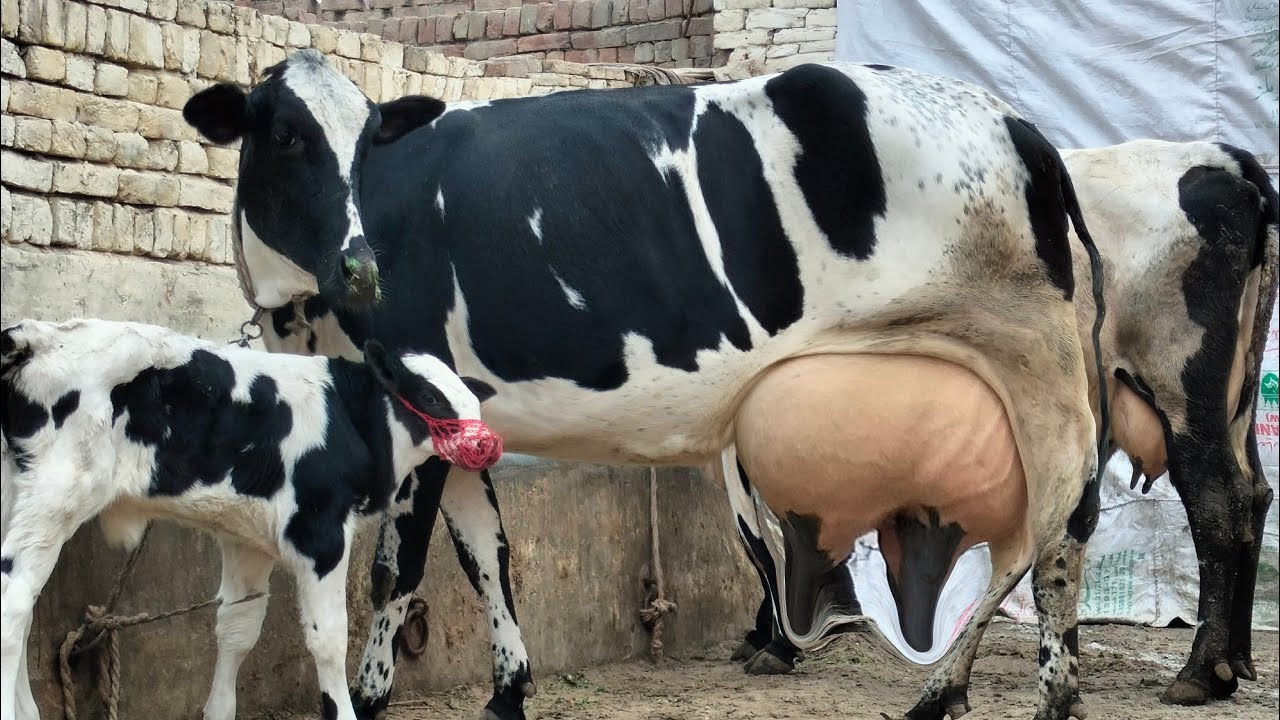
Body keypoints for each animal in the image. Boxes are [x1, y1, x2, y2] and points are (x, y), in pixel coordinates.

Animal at [0, 318, 503, 720]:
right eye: (429, 397)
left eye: (473, 403)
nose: (487, 444)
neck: (351, 417)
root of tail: (35, 336)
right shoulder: (320, 535)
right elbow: (329, 639)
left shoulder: (248, 540)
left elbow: (237, 630)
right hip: (55, 496)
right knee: (13, 607)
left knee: (24, 612)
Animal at [181, 51, 1110, 720]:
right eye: (285, 135)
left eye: (371, 139)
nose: (360, 265)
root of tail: (1014, 121)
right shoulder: (458, 412)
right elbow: (488, 553)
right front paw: (509, 691)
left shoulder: (412, 396)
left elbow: (396, 567)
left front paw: (372, 697)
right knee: (1032, 537)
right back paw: (977, 691)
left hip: (1033, 352)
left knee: (1060, 527)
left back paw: (1004, 691)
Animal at [724, 139, 1280, 709]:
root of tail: (1225, 158)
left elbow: (758, 538)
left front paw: (774, 642)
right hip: (1234, 396)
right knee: (1254, 494)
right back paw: (1235, 659)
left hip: (1181, 386)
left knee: (1217, 504)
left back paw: (1199, 671)